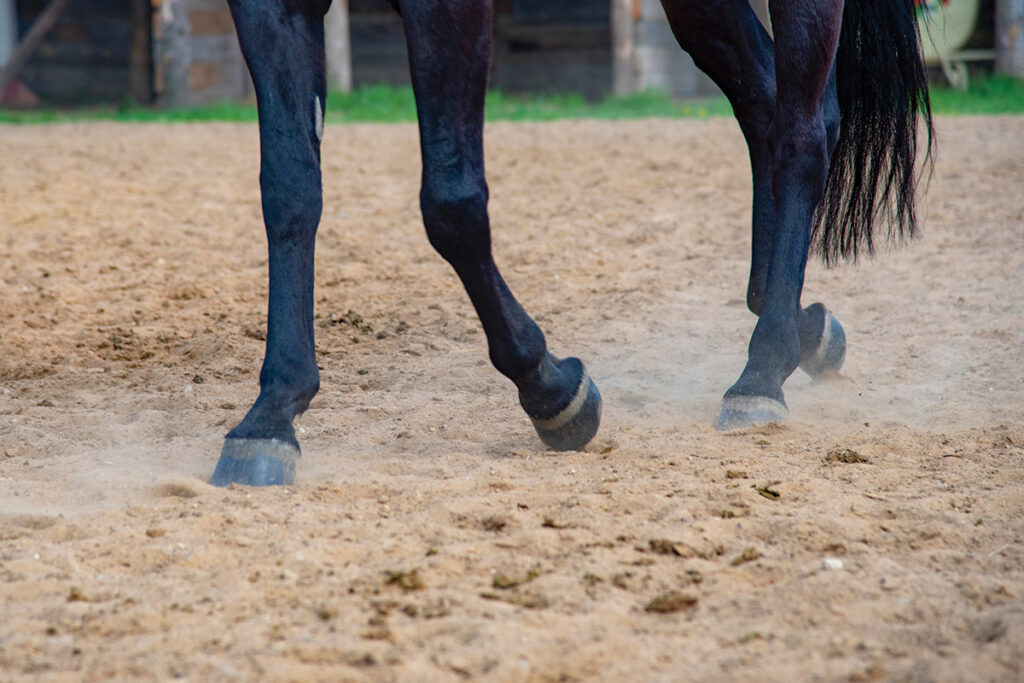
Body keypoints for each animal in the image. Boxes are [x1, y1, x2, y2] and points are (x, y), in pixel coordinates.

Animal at [210, 0, 933, 486]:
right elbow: (290, 189)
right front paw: (270, 416)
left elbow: (450, 202)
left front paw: (551, 389)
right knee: (764, 101)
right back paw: (800, 326)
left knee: (801, 133)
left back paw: (762, 371)